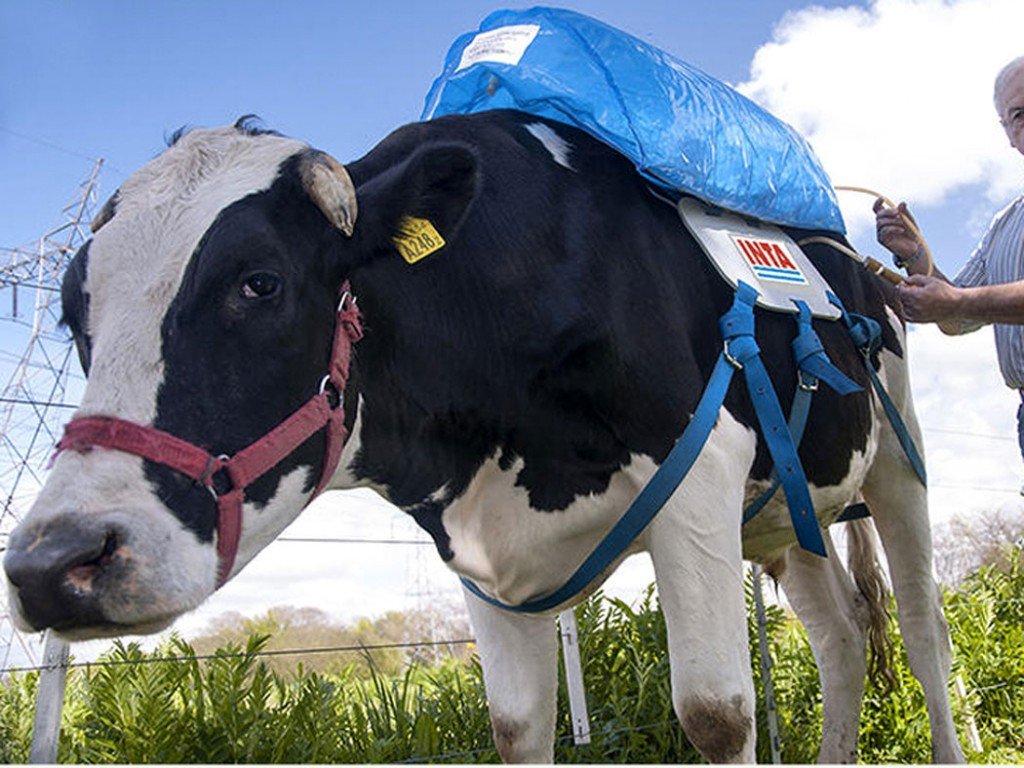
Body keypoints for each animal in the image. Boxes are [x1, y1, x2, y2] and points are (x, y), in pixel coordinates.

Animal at [4, 112, 964, 763]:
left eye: (260, 282)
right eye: (73, 315)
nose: (52, 565)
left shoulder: (700, 482)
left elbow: (717, 714)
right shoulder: (477, 543)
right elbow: (516, 726)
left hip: (899, 464)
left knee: (921, 632)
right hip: (784, 516)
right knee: (842, 638)